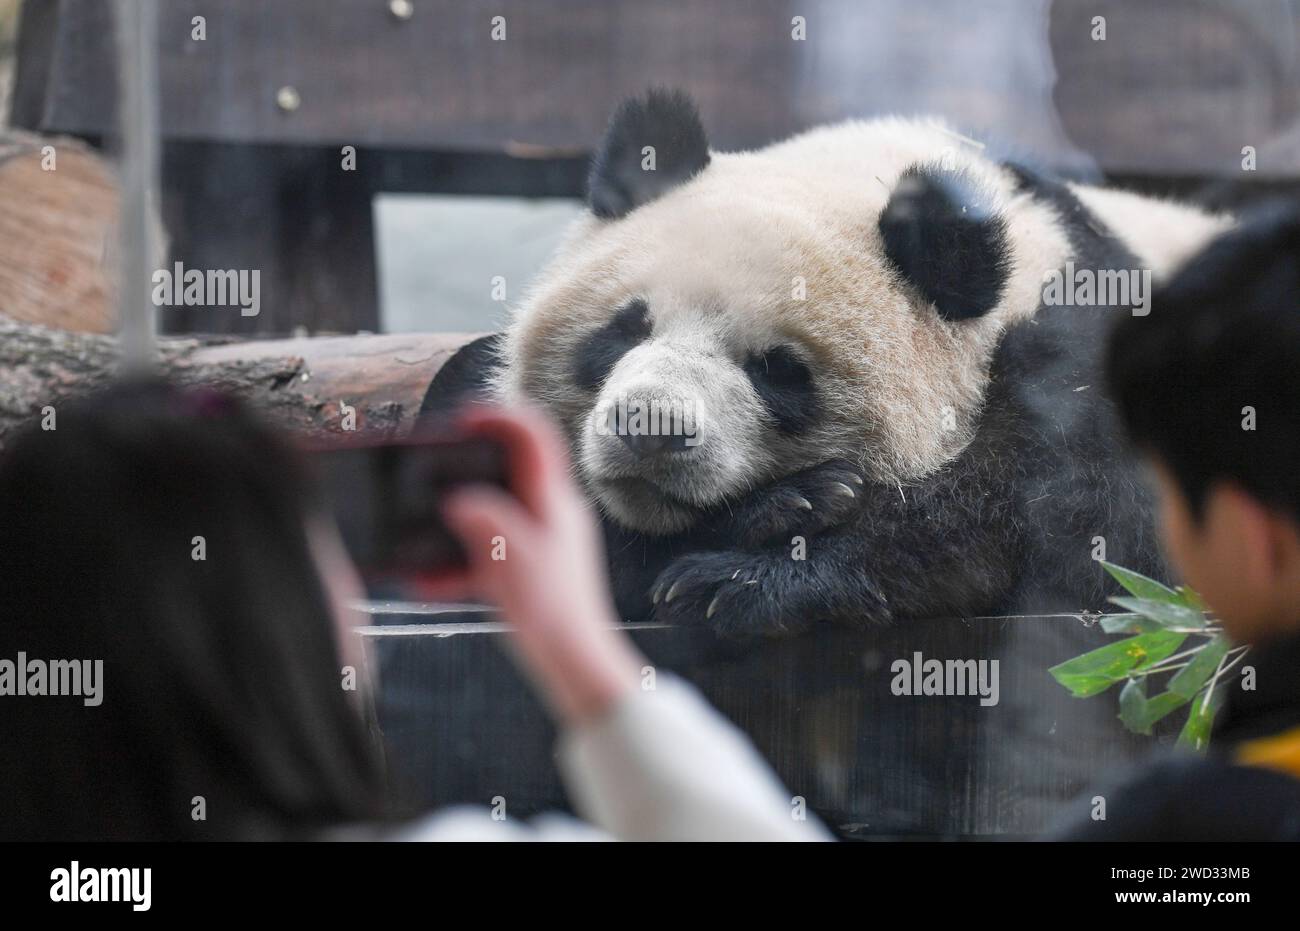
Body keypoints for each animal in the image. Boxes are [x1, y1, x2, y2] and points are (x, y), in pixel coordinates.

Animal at [422, 88, 1232, 638]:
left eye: (778, 370)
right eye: (624, 329)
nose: (650, 427)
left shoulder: (1082, 328)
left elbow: (1086, 517)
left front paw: (755, 571)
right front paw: (782, 509)